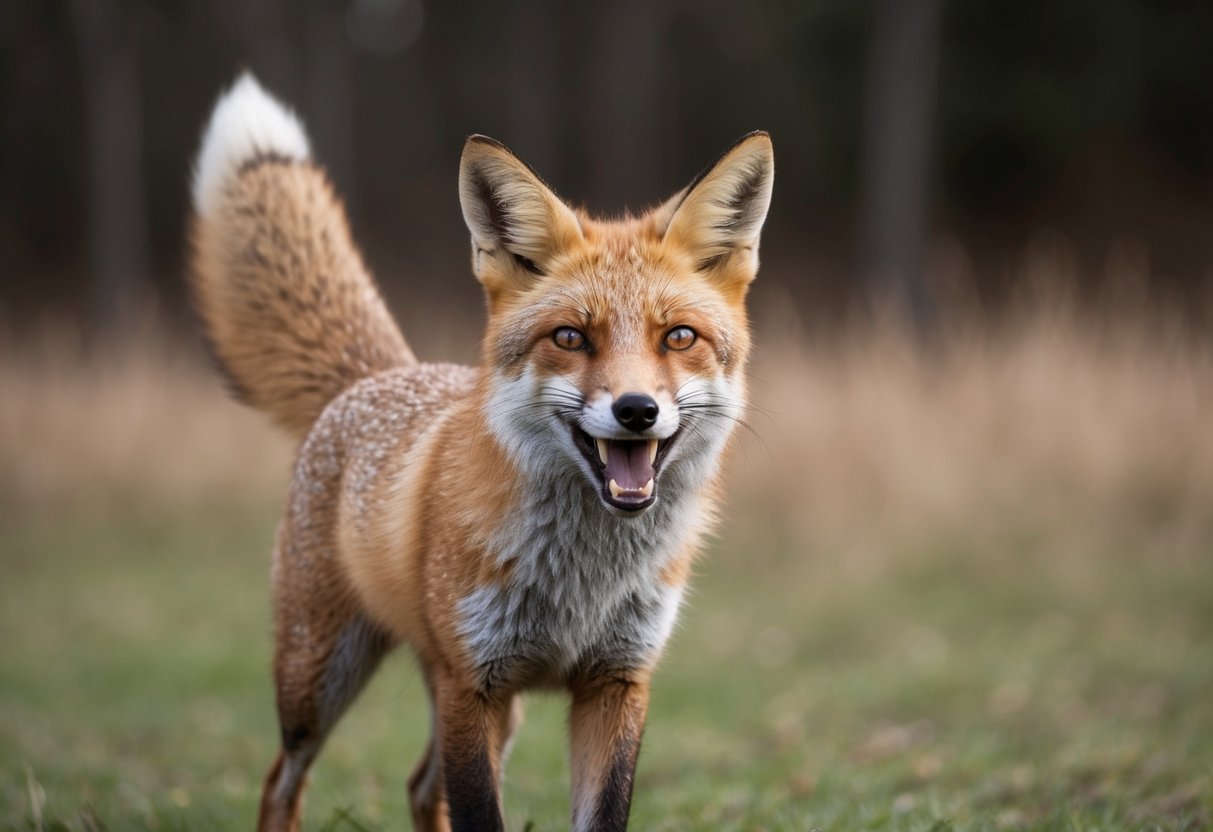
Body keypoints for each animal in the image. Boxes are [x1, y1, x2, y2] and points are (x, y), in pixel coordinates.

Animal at [188, 73, 773, 832]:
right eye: (570, 337)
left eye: (678, 337)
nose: (636, 411)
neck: (581, 584)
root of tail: (379, 376)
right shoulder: (474, 683)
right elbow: (478, 814)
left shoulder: (615, 682)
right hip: (318, 682)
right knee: (281, 781)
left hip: (481, 702)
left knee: (417, 787)